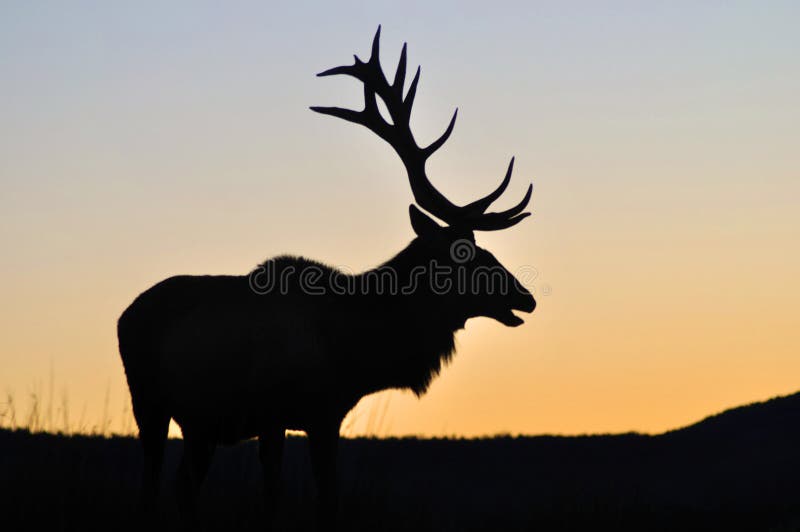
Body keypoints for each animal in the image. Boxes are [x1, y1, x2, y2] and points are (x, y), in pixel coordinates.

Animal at [117, 26, 535, 530]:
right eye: (466, 254)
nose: (527, 297)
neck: (353, 346)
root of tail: (124, 316)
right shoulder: (281, 413)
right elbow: (283, 496)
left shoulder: (320, 415)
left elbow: (317, 497)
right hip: (150, 404)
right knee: (150, 490)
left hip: (199, 425)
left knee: (181, 488)